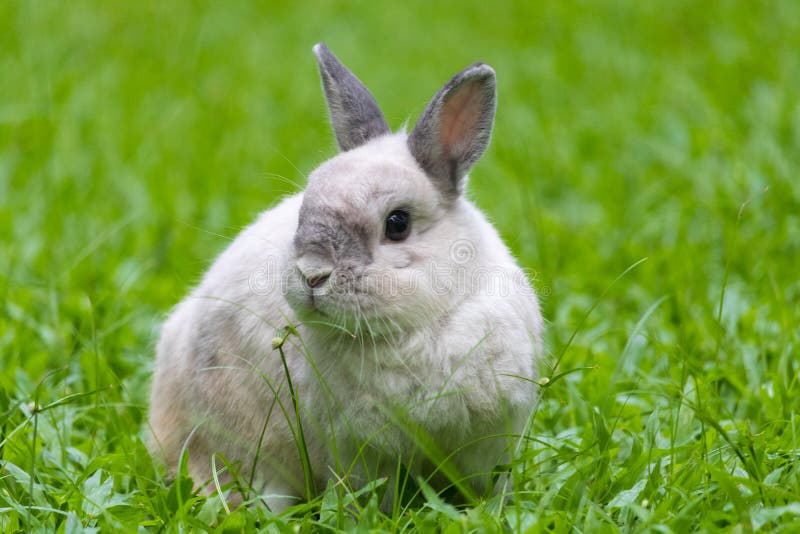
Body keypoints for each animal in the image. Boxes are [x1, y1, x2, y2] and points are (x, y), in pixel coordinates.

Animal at [148, 42, 543, 512]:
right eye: (304, 211)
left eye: (397, 223)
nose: (312, 274)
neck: (418, 328)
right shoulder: (359, 453)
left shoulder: (491, 442)